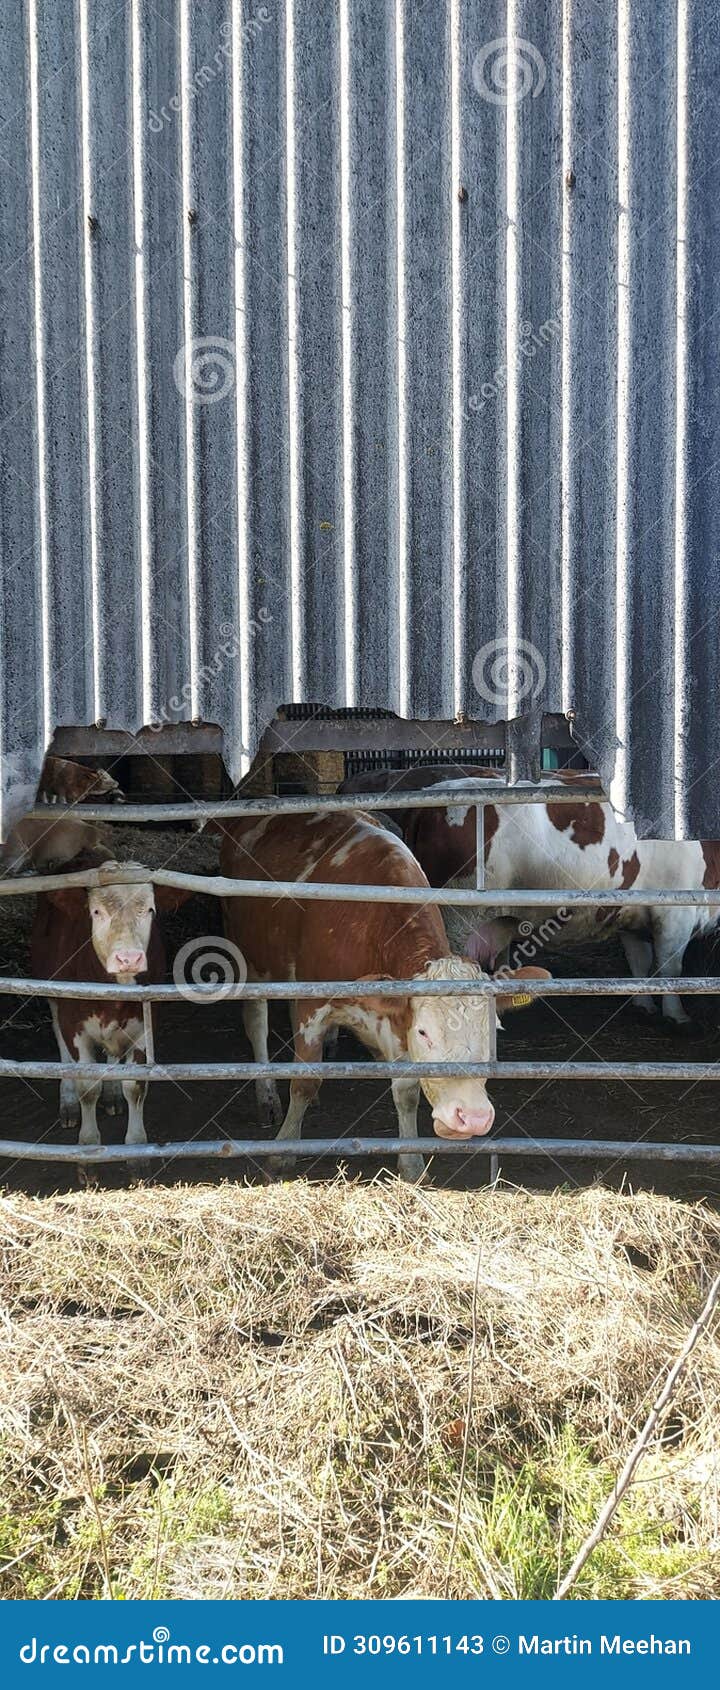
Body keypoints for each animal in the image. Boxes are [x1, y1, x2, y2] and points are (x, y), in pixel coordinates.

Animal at [30, 861, 187, 1145]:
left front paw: (136, 1144)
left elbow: (135, 1086)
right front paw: (88, 1142)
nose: (129, 959)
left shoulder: (145, 1024)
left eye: (150, 910)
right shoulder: (72, 1024)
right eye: (96, 912)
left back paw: (112, 1095)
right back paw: (68, 1102)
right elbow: (87, 1086)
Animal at [218, 811, 547, 1180]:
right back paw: (267, 1096)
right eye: (424, 1033)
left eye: (492, 1032)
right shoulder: (315, 1004)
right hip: (248, 954)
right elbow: (304, 1081)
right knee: (256, 1022)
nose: (473, 1118)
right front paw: (283, 1152)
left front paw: (412, 1163)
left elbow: (406, 1092)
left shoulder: (395, 1019)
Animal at [397, 776, 720, 1033]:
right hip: (458, 916)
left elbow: (639, 962)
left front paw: (644, 1005)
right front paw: (677, 1016)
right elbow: (670, 968)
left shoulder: (631, 913)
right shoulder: (675, 912)